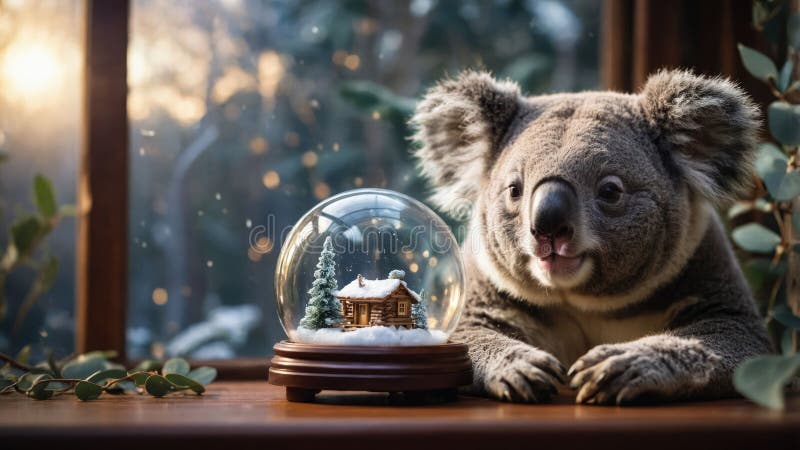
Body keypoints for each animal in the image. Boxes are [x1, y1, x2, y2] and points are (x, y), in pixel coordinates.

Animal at [409, 69, 772, 405]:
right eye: (514, 190)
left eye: (610, 191)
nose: (547, 226)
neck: (584, 301)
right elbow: (467, 333)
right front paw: (523, 369)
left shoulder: (707, 271)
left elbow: (732, 338)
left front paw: (620, 367)